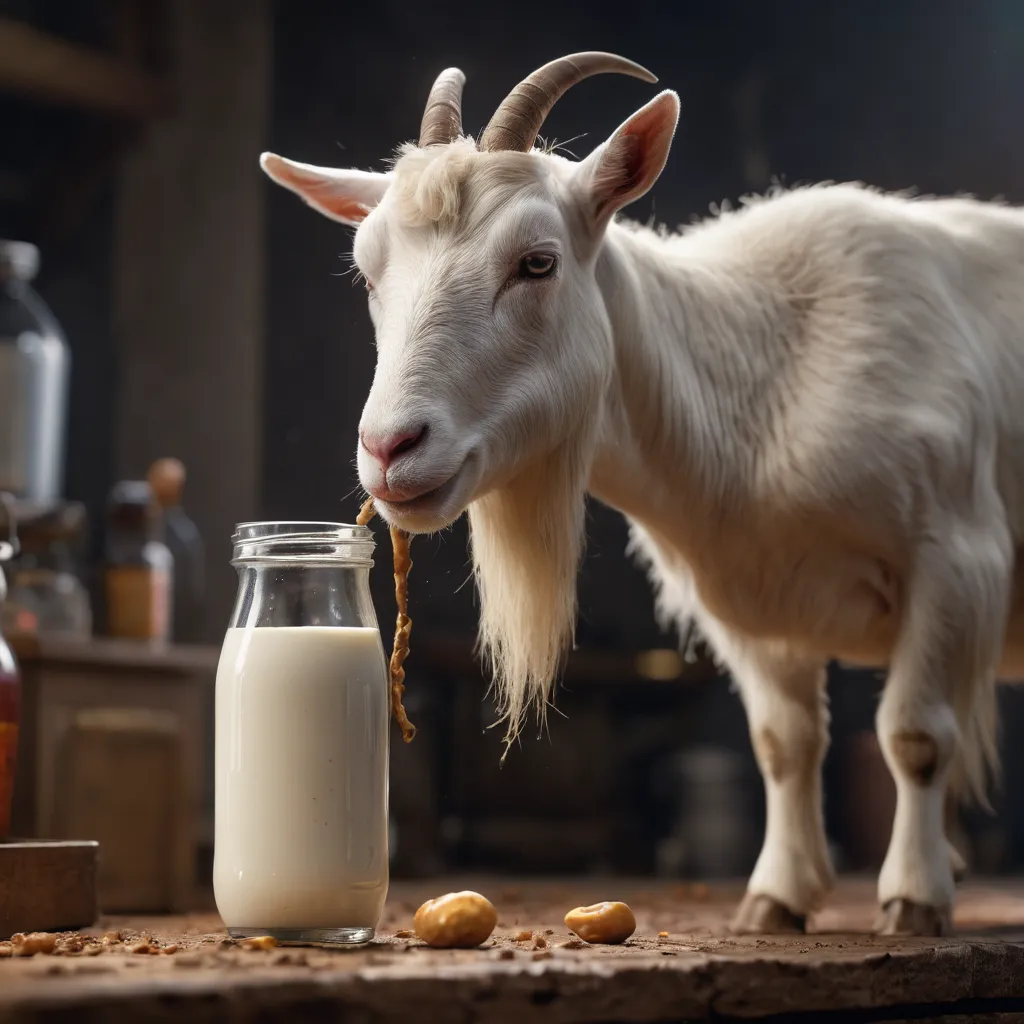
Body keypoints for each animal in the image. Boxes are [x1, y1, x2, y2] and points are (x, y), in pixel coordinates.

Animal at [261, 52, 1024, 937]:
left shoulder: (956, 557)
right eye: (367, 269)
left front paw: (913, 899)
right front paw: (776, 898)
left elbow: (916, 737)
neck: (761, 376)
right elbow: (783, 742)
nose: (390, 447)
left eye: (538, 262)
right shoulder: (751, 597)